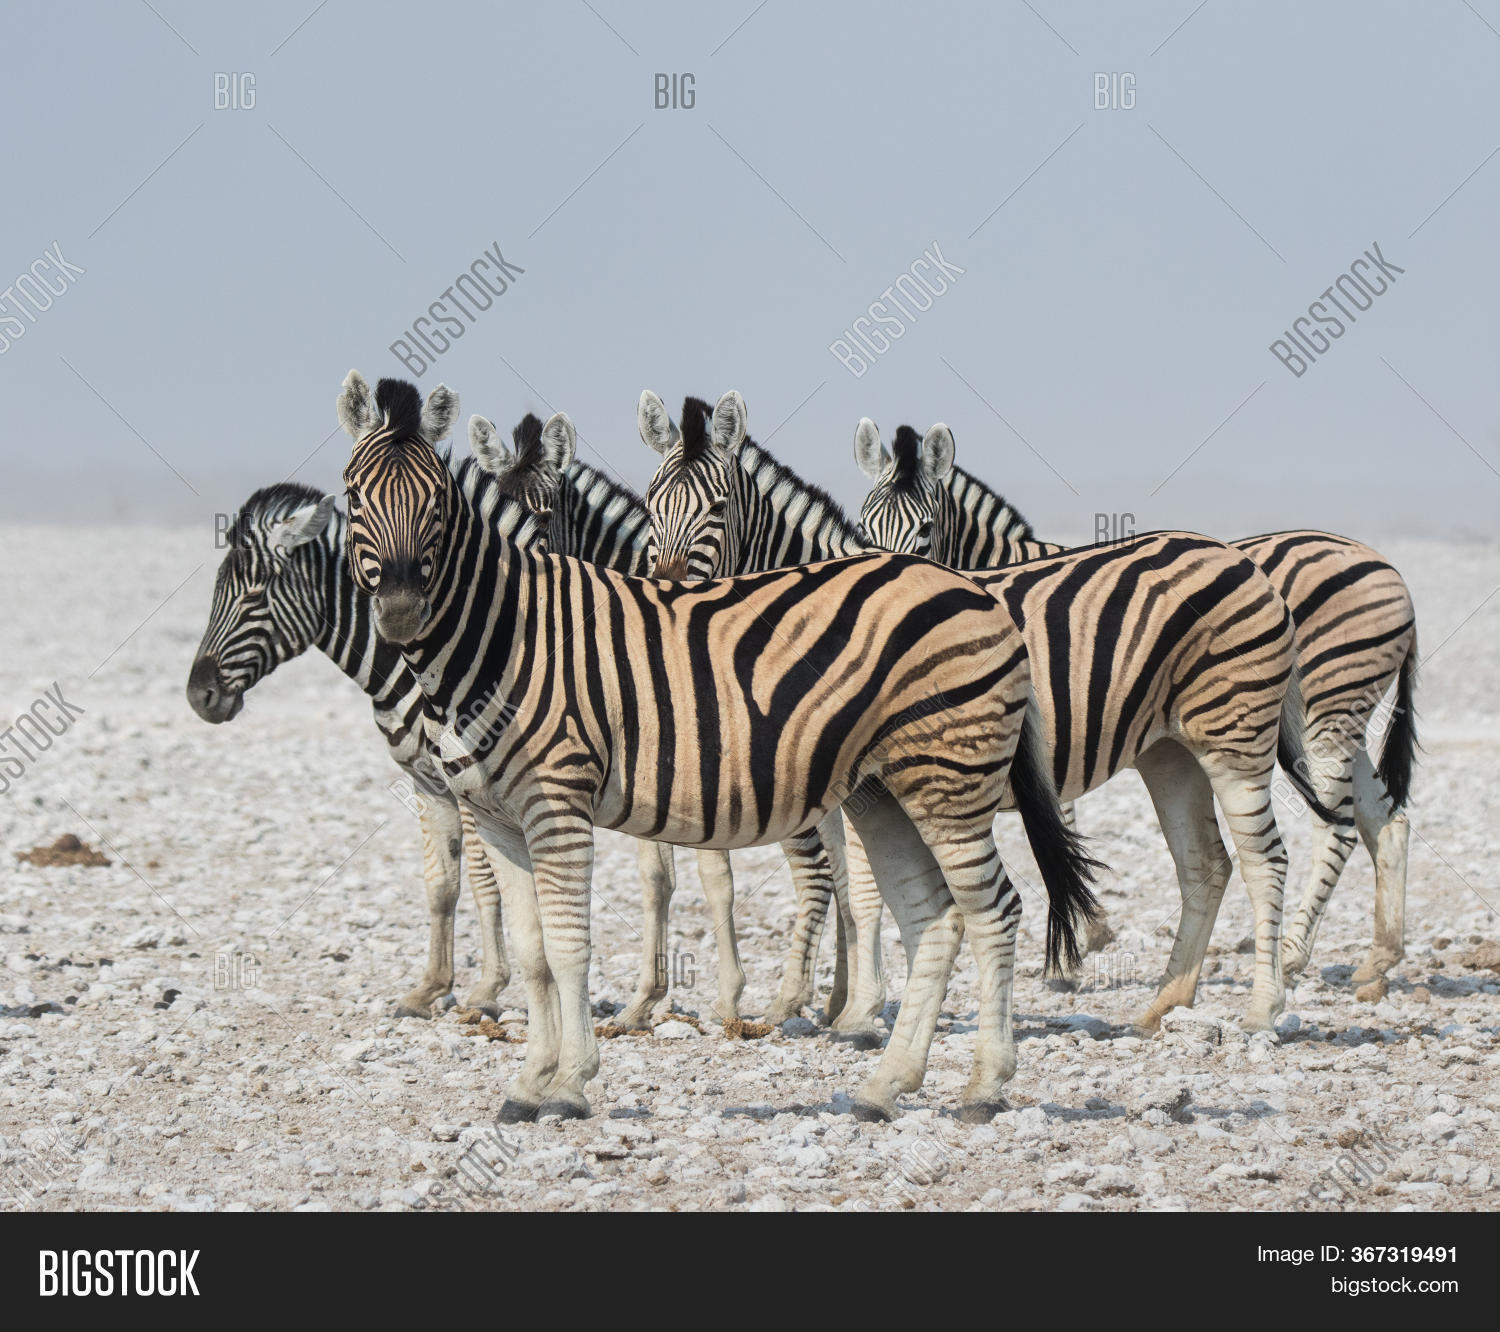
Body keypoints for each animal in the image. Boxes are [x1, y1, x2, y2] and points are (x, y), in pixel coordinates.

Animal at [186, 481, 536, 1018]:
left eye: (254, 594)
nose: (197, 695)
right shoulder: (428, 780)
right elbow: (442, 883)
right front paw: (430, 988)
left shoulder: (471, 784)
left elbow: (483, 878)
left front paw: (488, 989)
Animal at [467, 410, 852, 1030]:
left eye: (543, 516)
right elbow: (657, 879)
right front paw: (645, 1001)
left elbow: (713, 877)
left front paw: (725, 998)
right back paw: (844, 998)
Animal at [641, 392, 1320, 1036]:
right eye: (651, 507)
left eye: (717, 508)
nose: (669, 589)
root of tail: (1238, 557)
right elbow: (847, 890)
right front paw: (832, 1005)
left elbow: (861, 892)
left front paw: (859, 1010)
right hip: (1170, 751)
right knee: (1207, 863)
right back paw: (1164, 1008)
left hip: (1235, 734)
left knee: (1267, 860)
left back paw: (1263, 1010)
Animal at [852, 420, 1417, 985]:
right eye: (864, 529)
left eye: (926, 531)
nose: (892, 598)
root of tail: (1388, 567)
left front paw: (1082, 940)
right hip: (1344, 713)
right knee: (1385, 819)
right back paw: (1379, 957)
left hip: (1326, 708)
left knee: (1337, 826)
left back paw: (1297, 950)